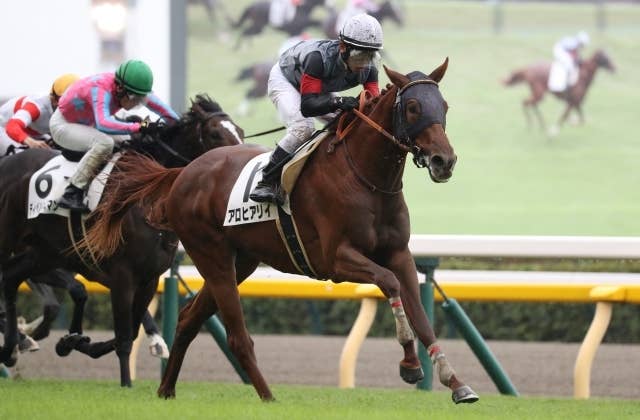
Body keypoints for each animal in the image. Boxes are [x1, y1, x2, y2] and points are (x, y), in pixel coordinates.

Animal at [0, 94, 244, 386]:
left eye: (240, 131)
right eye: (215, 133)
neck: (147, 197)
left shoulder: (149, 277)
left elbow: (128, 331)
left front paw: (72, 342)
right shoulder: (121, 274)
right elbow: (124, 336)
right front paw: (126, 383)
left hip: (45, 253)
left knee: (10, 277)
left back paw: (11, 348)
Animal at [83, 59, 479, 404]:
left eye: (443, 105)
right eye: (412, 107)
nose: (444, 161)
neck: (367, 178)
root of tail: (183, 172)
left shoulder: (399, 254)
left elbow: (421, 316)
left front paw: (456, 383)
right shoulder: (337, 260)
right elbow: (390, 284)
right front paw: (410, 365)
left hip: (238, 262)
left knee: (188, 319)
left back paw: (166, 389)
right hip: (211, 254)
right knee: (237, 336)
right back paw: (267, 396)